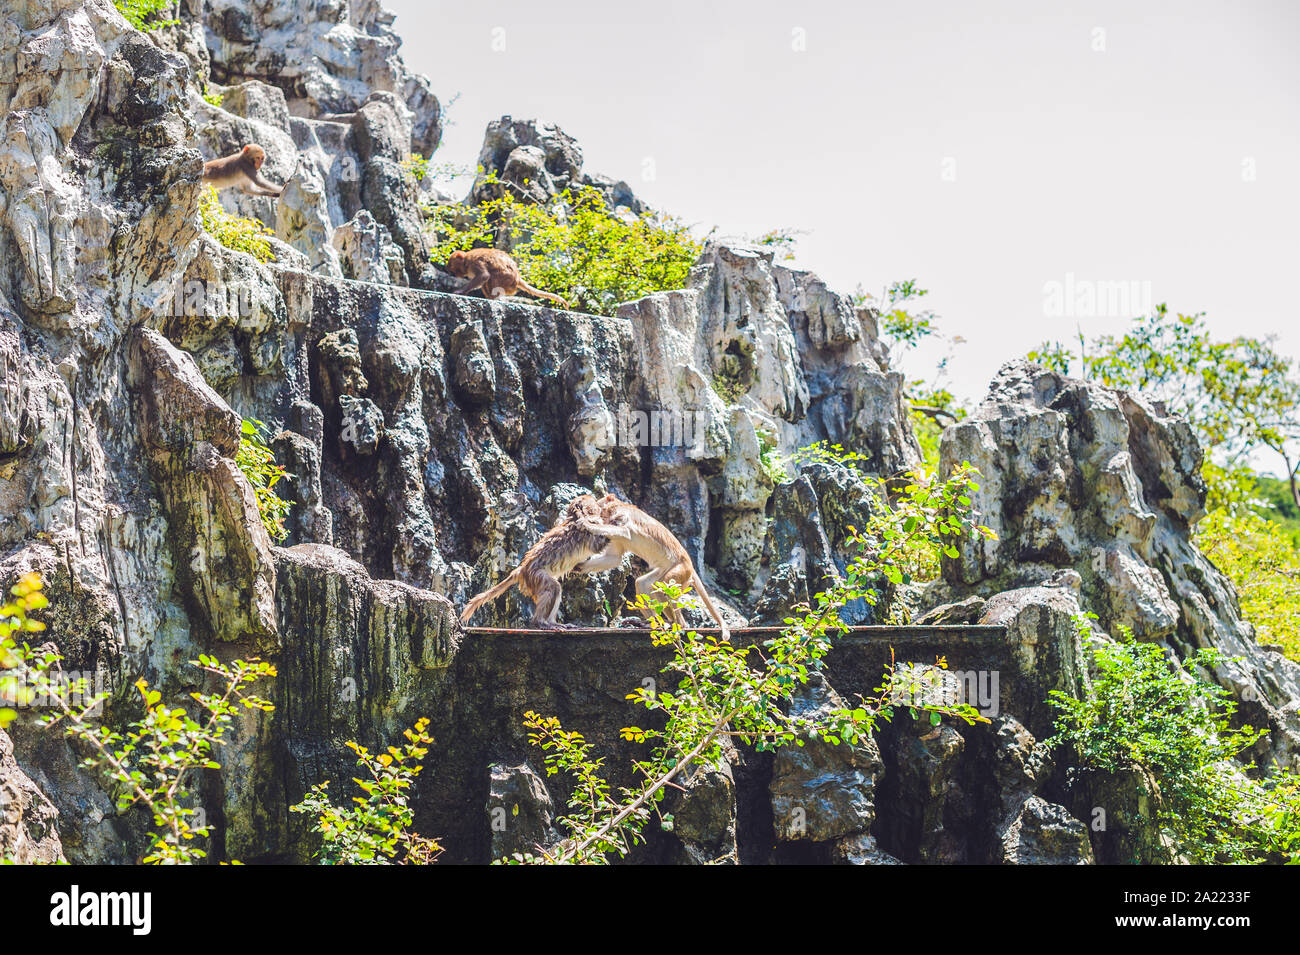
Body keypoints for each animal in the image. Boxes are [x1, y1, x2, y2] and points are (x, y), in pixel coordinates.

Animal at [460, 494, 633, 630]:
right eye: (592, 500)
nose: (598, 500)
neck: (578, 516)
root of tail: (521, 569)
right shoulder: (588, 530)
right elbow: (597, 545)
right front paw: (616, 522)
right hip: (536, 576)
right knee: (551, 587)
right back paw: (541, 622)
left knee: (556, 589)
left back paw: (553, 622)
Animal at [575, 493, 731, 640]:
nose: (592, 515)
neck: (615, 509)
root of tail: (690, 566)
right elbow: (614, 558)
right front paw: (578, 566)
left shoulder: (622, 516)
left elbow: (625, 532)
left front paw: (587, 524)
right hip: (664, 569)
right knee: (644, 583)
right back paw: (652, 623)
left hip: (679, 571)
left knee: (665, 587)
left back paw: (677, 625)